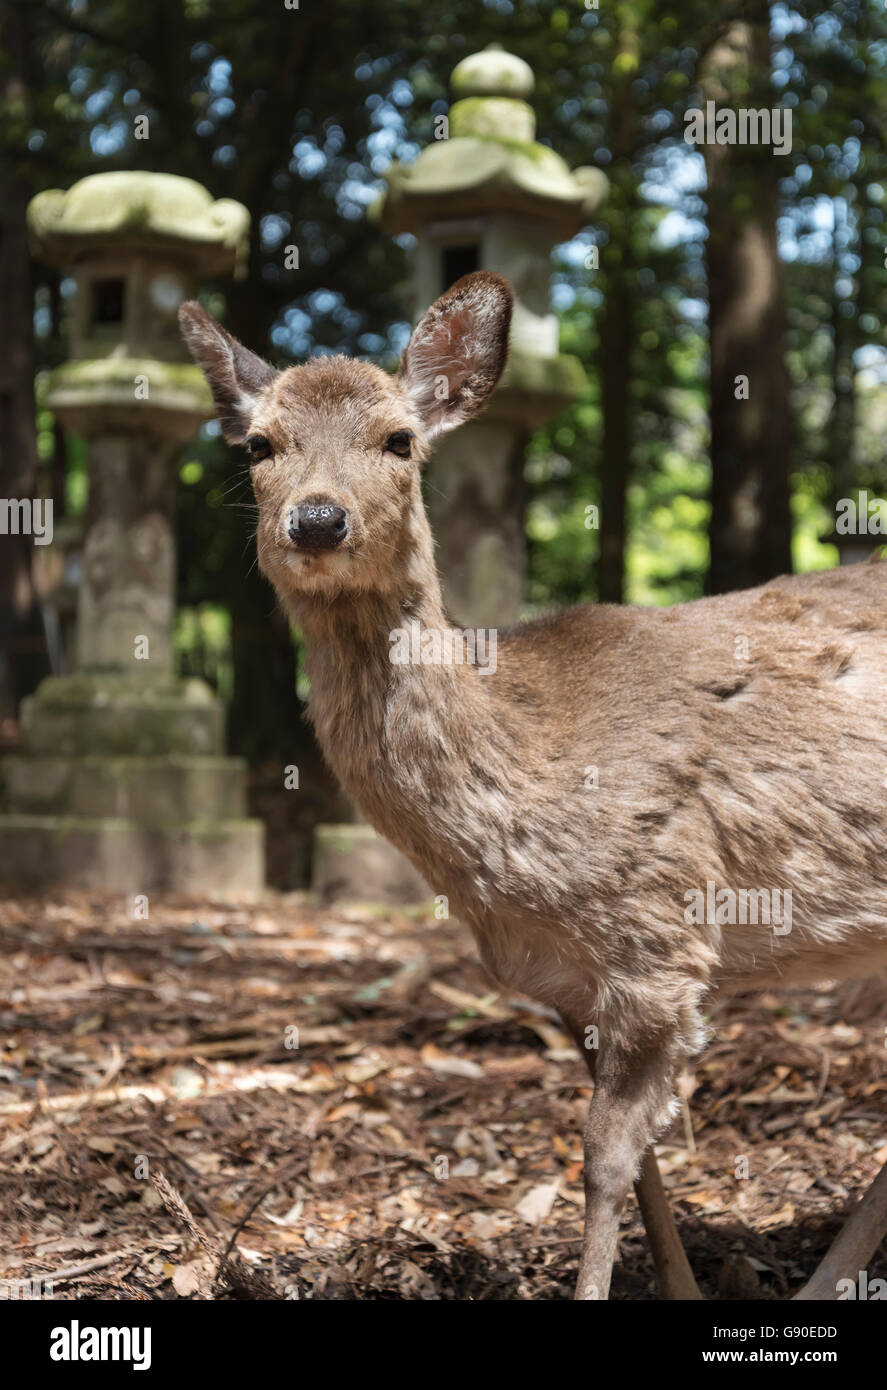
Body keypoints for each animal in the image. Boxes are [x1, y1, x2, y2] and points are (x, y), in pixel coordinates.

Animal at [180, 271, 887, 1301]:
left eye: (398, 439)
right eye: (259, 444)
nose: (315, 519)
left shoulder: (660, 935)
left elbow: (603, 1157)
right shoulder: (567, 980)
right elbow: (644, 1166)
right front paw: (679, 1286)